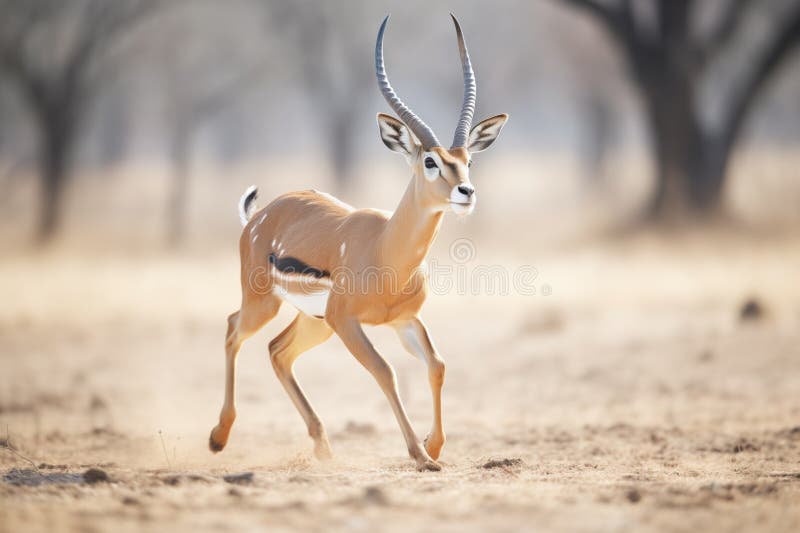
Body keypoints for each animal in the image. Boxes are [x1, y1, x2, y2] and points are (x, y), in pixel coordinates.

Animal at [209, 14, 508, 471]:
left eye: (468, 161)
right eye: (430, 161)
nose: (466, 193)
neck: (385, 250)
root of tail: (258, 216)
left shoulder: (404, 319)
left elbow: (437, 365)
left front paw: (435, 446)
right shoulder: (348, 321)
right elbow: (386, 371)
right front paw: (421, 455)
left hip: (315, 322)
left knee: (278, 350)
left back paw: (322, 446)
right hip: (267, 304)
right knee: (232, 330)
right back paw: (218, 438)